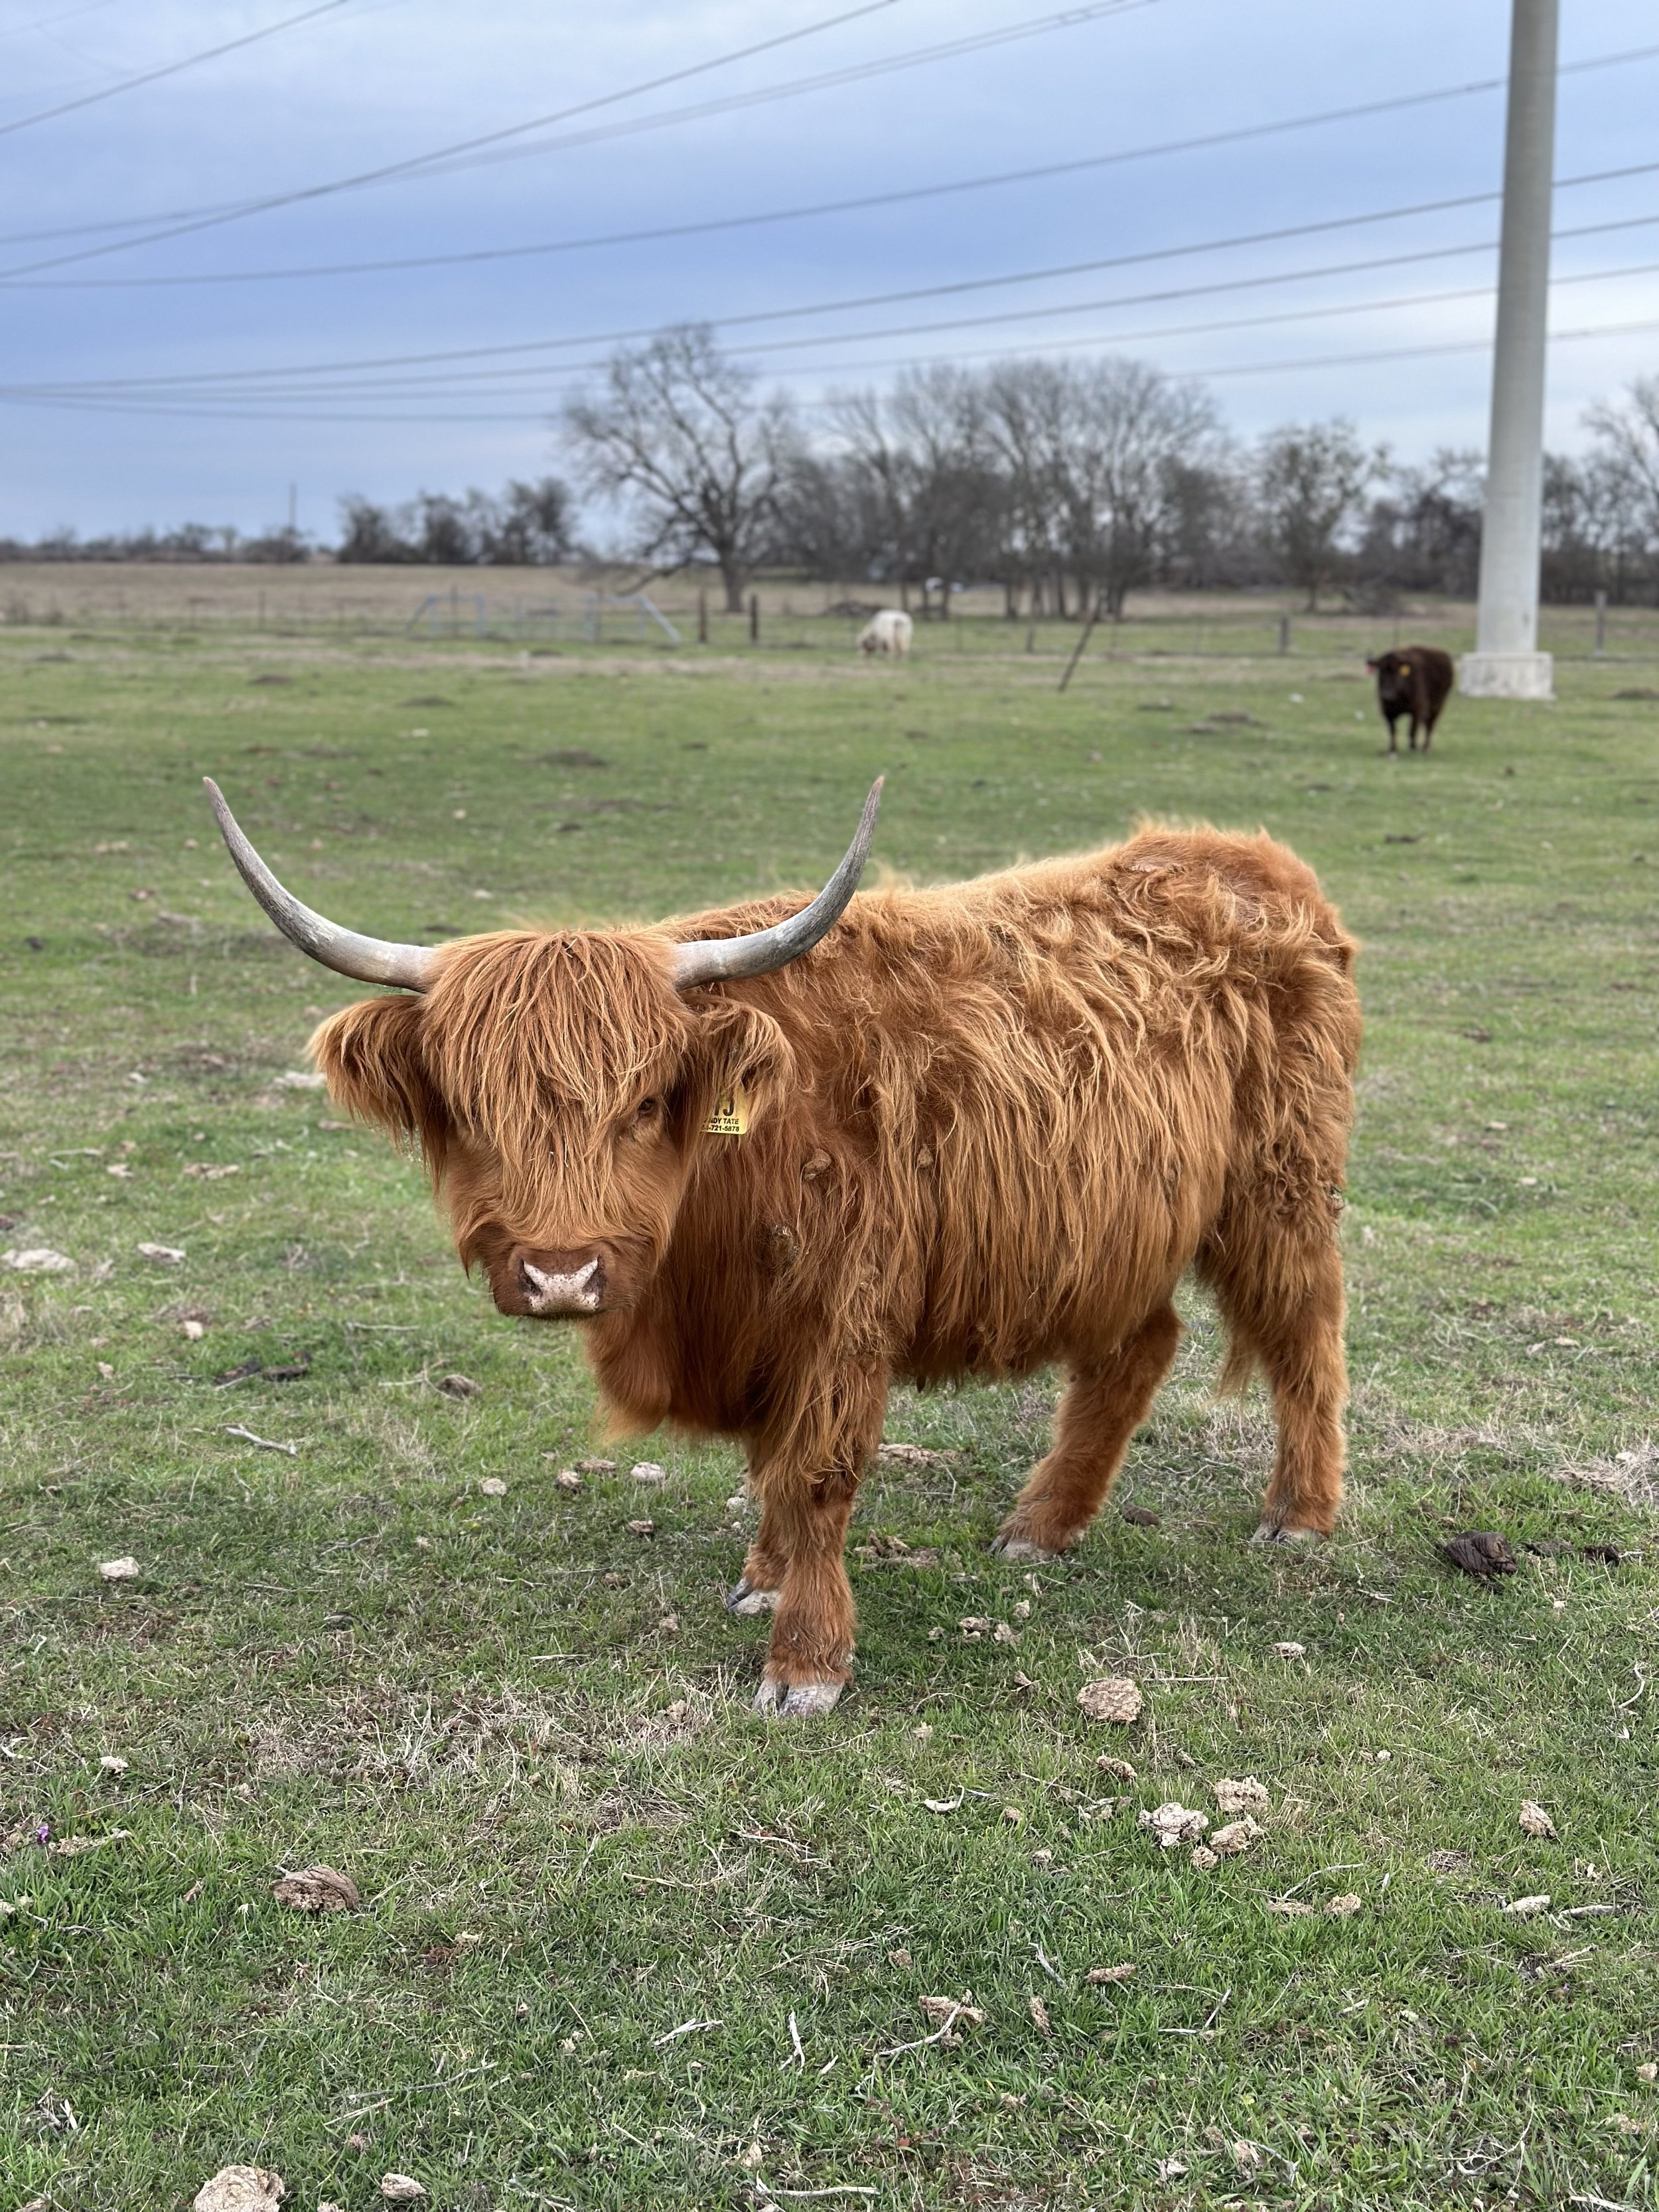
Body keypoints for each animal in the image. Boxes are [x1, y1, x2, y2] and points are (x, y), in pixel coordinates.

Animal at [206, 776, 1360, 1718]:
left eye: (646, 1104)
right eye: (473, 1112)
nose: (560, 1273)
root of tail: (1253, 860)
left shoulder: (843, 1315)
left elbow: (816, 1474)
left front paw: (806, 1662)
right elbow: (770, 1463)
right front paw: (762, 1576)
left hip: (1280, 1191)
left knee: (1307, 1331)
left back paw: (1298, 1515)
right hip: (1119, 1235)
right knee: (1139, 1348)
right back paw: (1044, 1522)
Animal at [1366, 645, 1453, 754]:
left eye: (1396, 672)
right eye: (1380, 671)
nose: (1387, 695)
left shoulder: (1417, 710)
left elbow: (1412, 730)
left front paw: (1413, 747)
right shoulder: (1388, 712)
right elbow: (1393, 731)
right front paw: (1392, 750)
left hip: (1437, 706)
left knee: (1430, 726)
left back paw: (1426, 749)